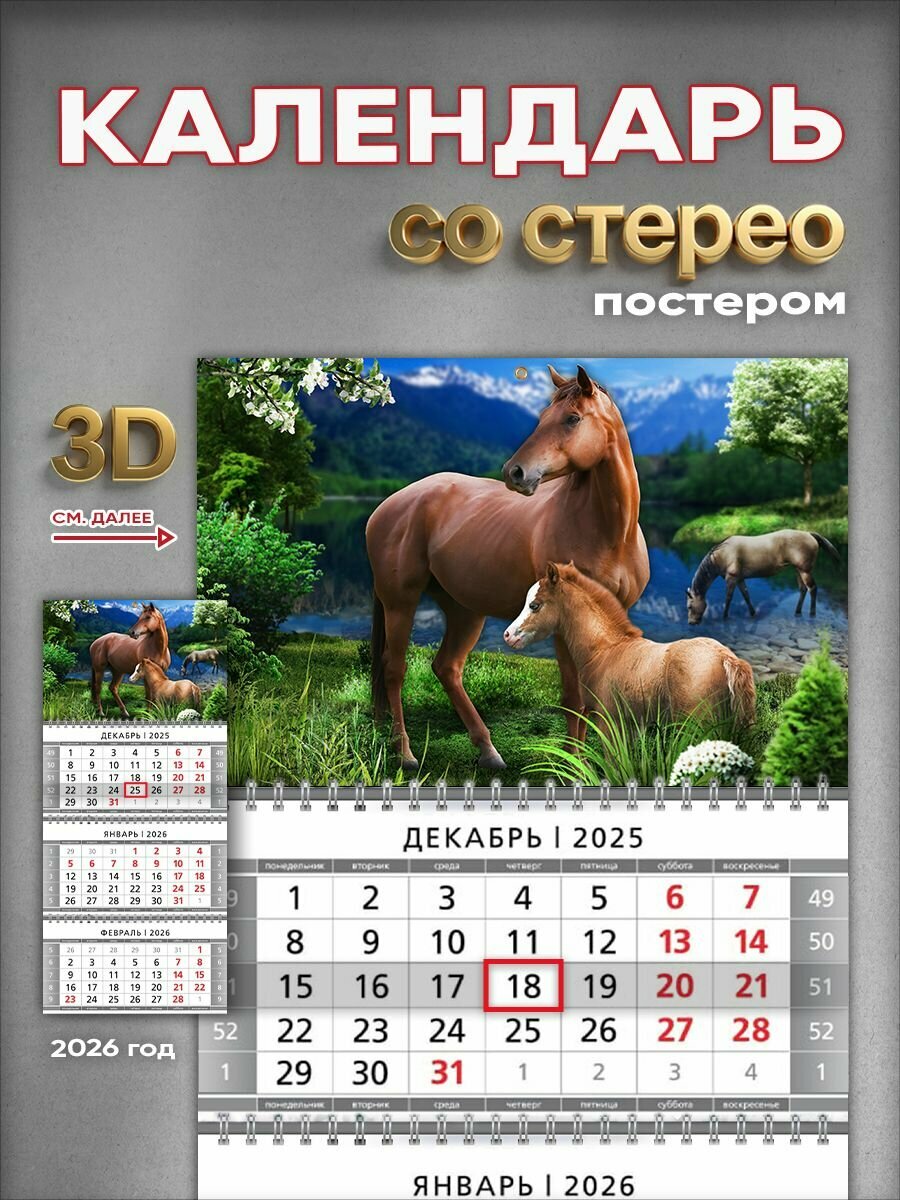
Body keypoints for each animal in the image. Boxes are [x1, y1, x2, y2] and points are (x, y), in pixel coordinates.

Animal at [366, 364, 650, 771]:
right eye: (542, 417)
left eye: (572, 418)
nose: (514, 472)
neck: (609, 532)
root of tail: (386, 506)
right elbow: (574, 699)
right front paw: (572, 765)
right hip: (400, 603)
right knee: (394, 669)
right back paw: (405, 753)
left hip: (464, 610)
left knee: (447, 668)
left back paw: (488, 751)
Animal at [504, 562, 756, 732]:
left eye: (535, 605)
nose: (508, 635)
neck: (604, 651)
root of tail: (727, 658)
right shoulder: (633, 726)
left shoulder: (608, 722)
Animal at [685, 530, 842, 624]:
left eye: (689, 606)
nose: (691, 623)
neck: (723, 554)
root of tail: (809, 534)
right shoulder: (739, 579)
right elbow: (746, 595)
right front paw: (753, 613)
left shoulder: (732, 578)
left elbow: (728, 598)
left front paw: (725, 617)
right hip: (798, 570)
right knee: (803, 589)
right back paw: (797, 612)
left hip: (805, 571)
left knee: (812, 589)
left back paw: (812, 614)